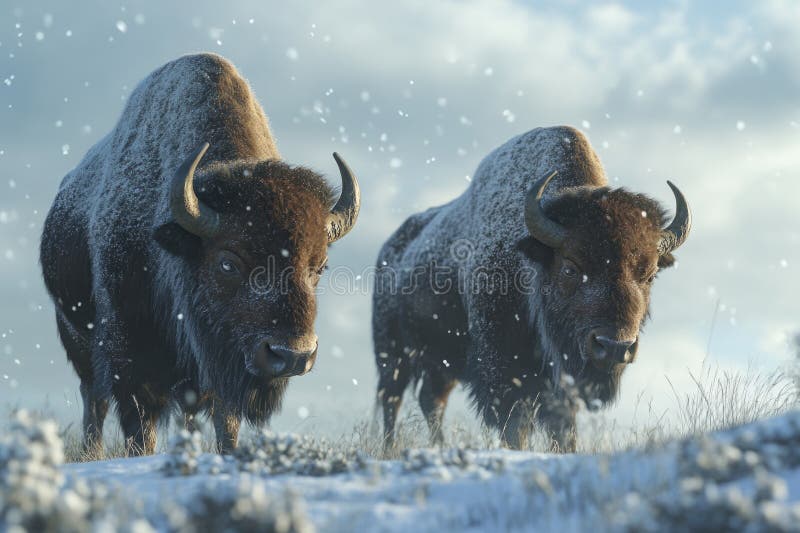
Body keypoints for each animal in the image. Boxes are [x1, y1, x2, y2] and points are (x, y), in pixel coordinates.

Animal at [40, 53, 360, 455]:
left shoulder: (220, 368)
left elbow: (225, 421)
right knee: (93, 401)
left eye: (319, 267)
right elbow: (139, 427)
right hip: (77, 341)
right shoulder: (132, 360)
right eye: (227, 262)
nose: (293, 355)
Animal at [372, 126, 690, 452]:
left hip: (441, 362)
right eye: (570, 268)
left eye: (649, 275)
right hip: (391, 352)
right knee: (392, 398)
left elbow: (563, 427)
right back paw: (389, 448)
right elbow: (515, 424)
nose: (615, 347)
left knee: (431, 399)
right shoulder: (504, 368)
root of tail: (390, 248)